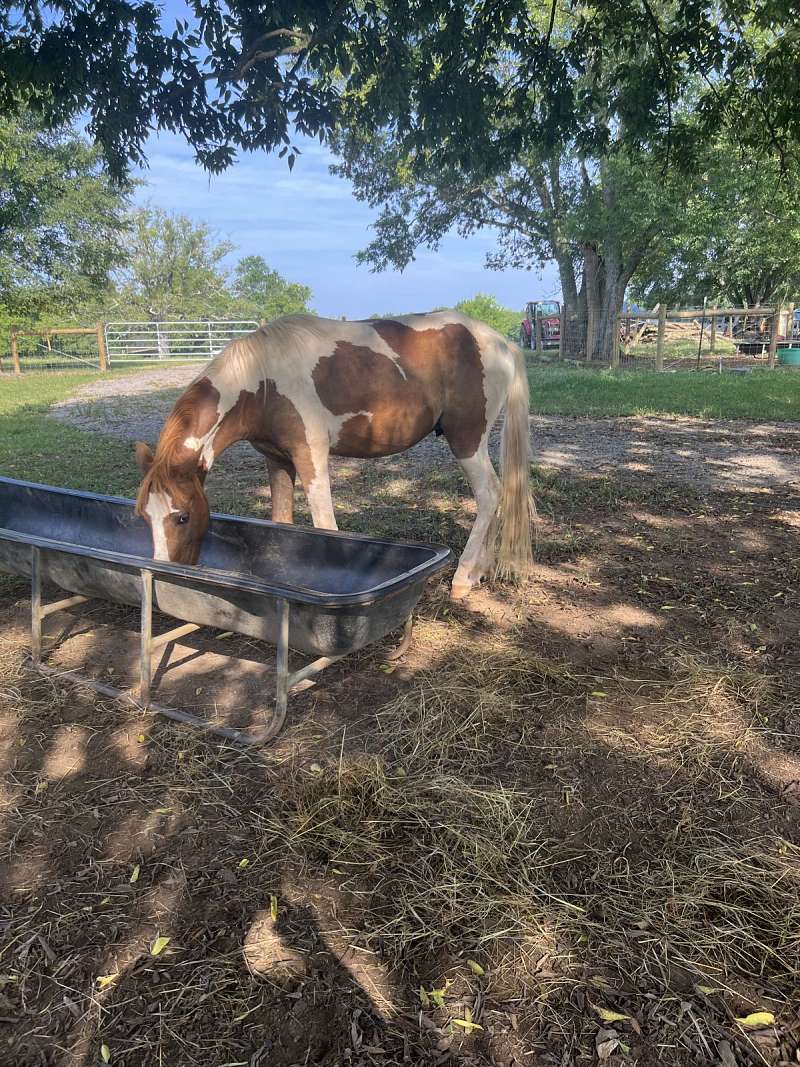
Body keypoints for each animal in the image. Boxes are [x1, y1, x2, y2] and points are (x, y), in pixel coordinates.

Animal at [134, 312, 533, 599]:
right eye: (143, 516)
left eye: (182, 516)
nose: (163, 572)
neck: (262, 382)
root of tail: (501, 343)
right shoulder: (277, 461)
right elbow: (282, 523)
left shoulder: (310, 456)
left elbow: (325, 527)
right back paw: (480, 570)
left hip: (466, 440)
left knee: (489, 495)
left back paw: (464, 577)